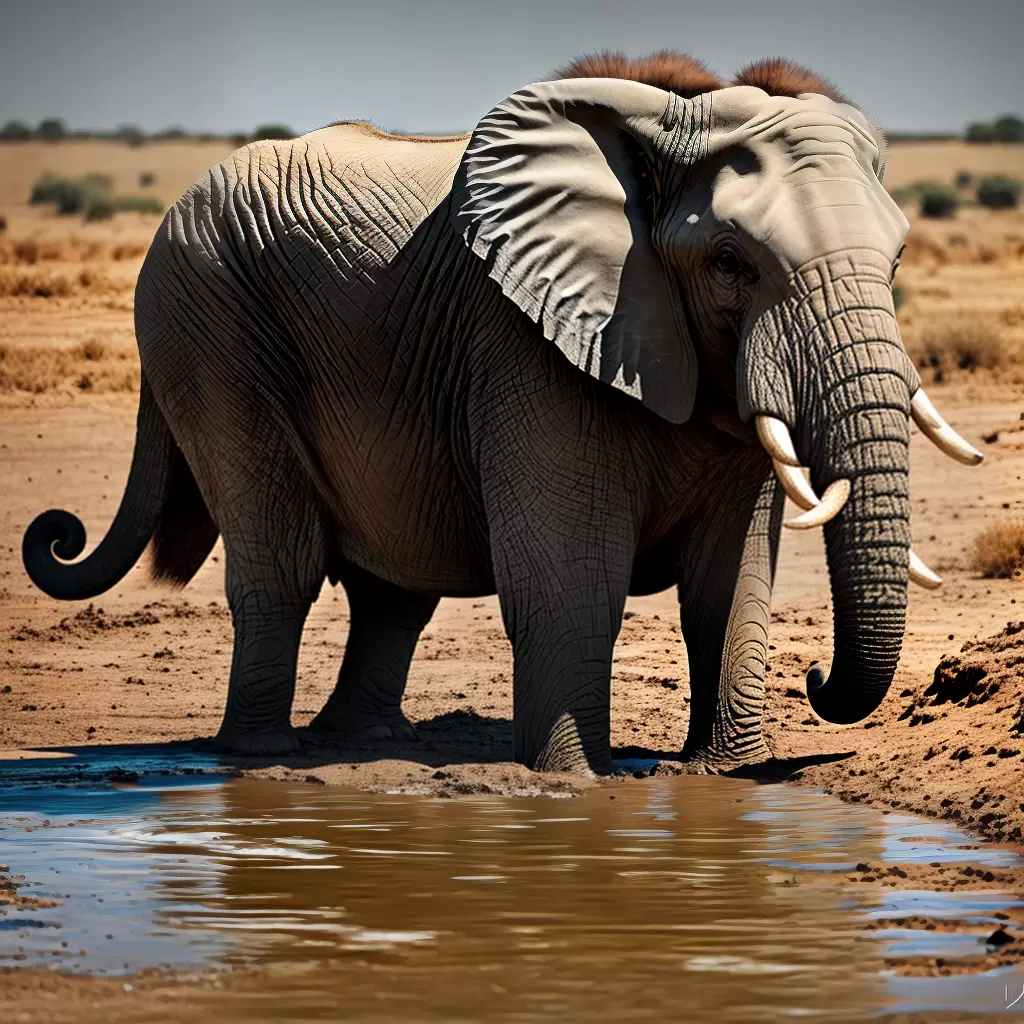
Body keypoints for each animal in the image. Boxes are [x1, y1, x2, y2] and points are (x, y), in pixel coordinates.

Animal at [22, 51, 982, 773]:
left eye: (898, 259)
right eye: (729, 263)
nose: (817, 679)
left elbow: (730, 582)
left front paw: (726, 778)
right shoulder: (526, 343)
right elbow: (567, 581)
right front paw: (574, 786)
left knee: (394, 589)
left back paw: (362, 743)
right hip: (207, 325)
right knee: (283, 563)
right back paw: (260, 758)